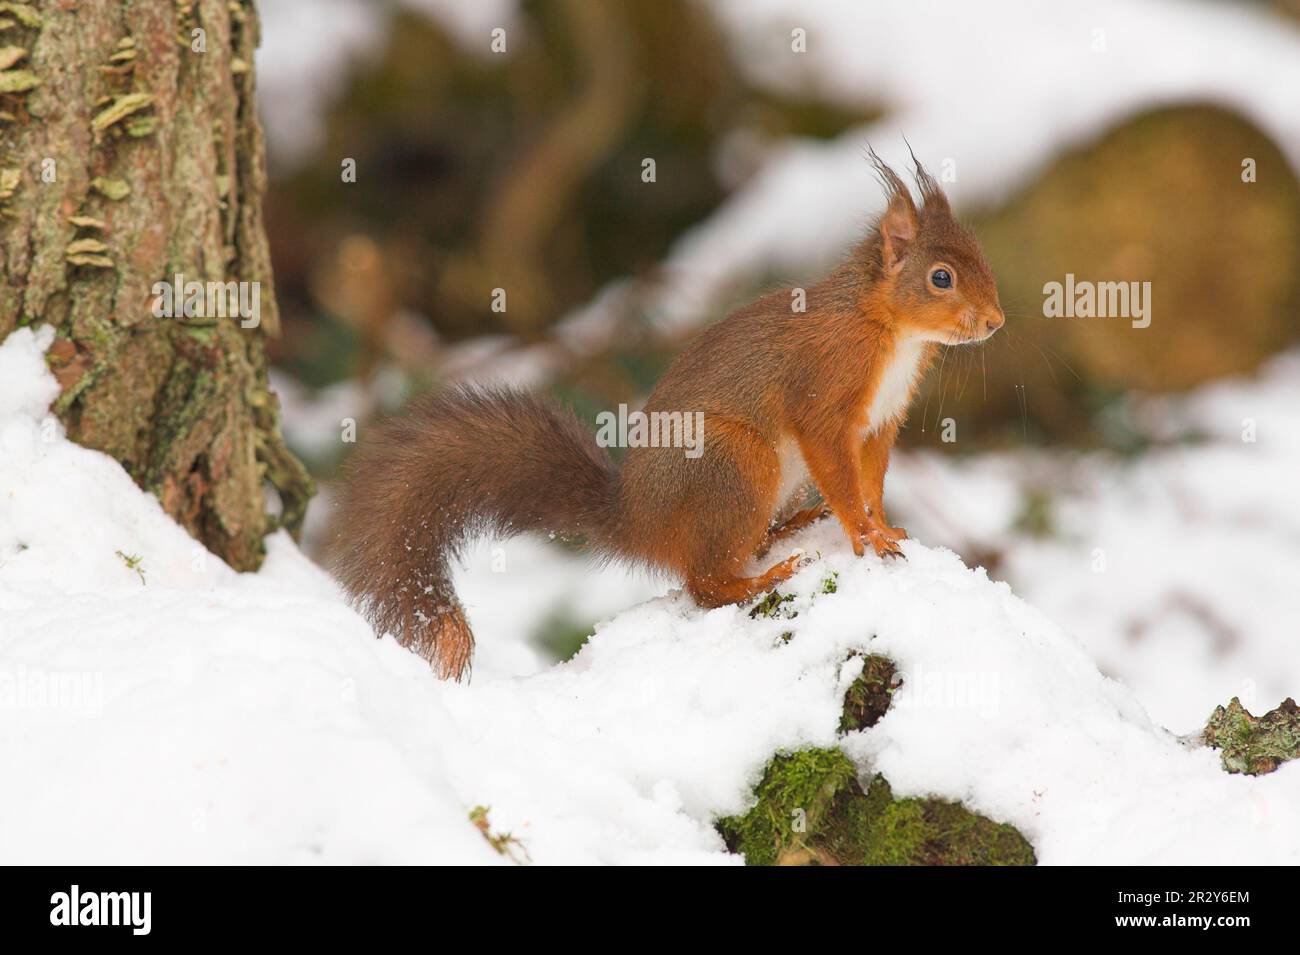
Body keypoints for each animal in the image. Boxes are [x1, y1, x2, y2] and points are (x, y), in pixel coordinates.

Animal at [329, 151, 1004, 680]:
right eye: (941, 277)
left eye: (982, 259)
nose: (996, 322)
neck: (888, 330)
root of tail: (639, 521)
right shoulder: (822, 396)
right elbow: (839, 473)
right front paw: (864, 533)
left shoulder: (881, 422)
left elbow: (872, 478)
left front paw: (886, 528)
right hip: (735, 461)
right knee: (704, 585)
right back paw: (762, 578)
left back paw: (786, 529)